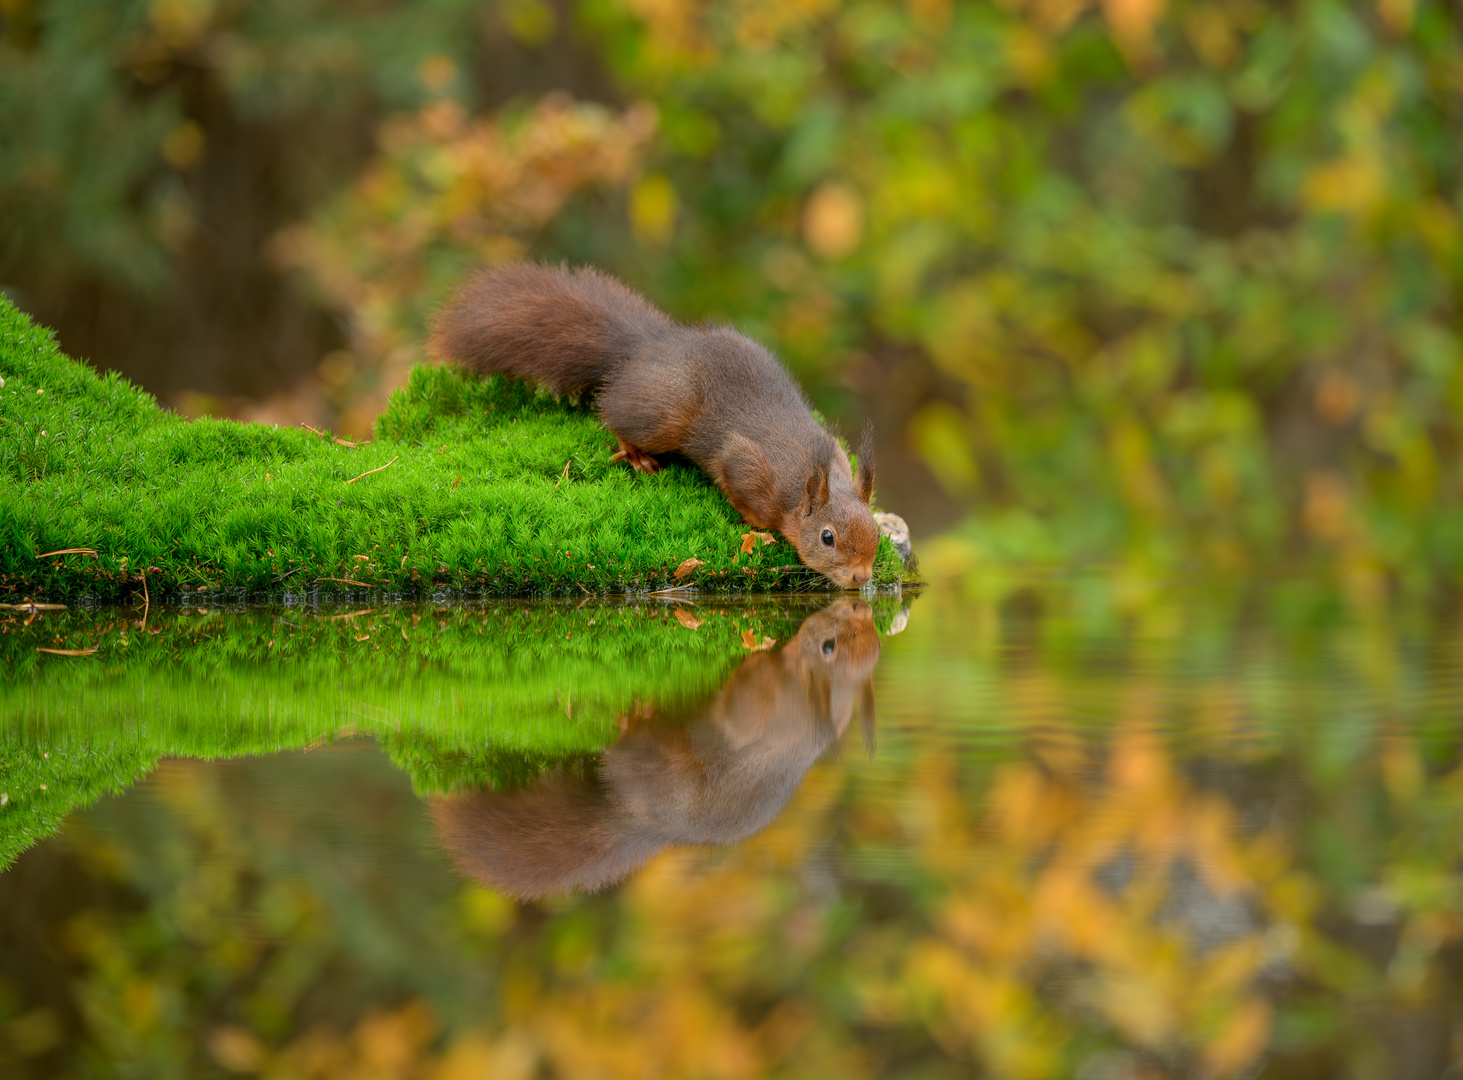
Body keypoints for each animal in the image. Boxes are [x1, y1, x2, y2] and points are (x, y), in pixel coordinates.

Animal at [429, 262, 880, 588]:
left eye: (877, 533)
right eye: (827, 537)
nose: (861, 578)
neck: (806, 479)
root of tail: (641, 350)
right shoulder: (747, 467)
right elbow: (741, 494)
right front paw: (758, 531)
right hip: (663, 417)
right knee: (612, 414)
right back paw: (635, 455)